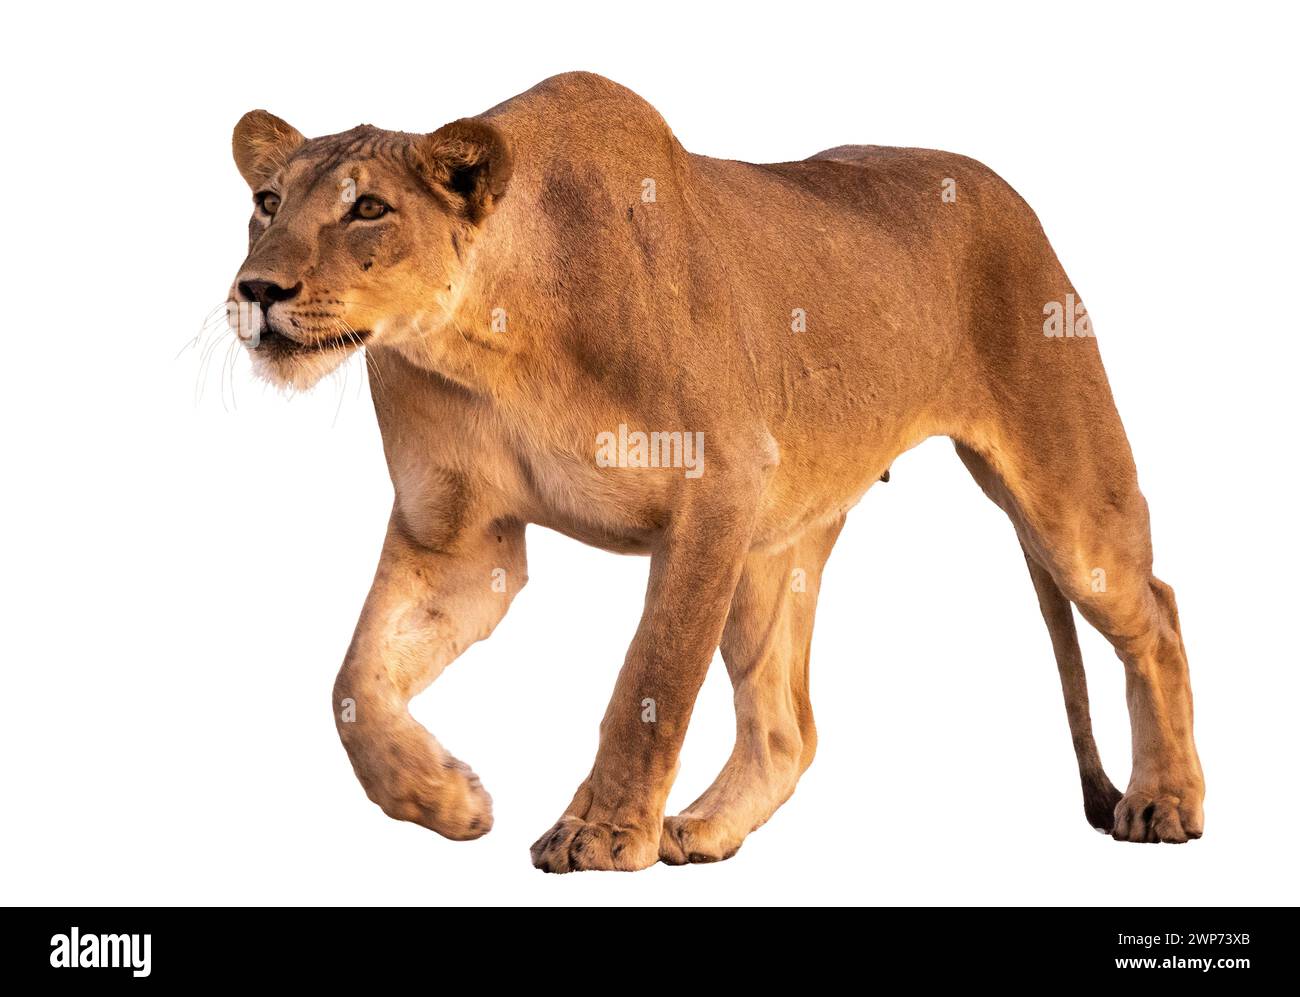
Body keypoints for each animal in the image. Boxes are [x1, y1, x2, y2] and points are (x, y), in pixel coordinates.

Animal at [226, 71, 1204, 872]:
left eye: (367, 210)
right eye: (267, 201)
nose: (256, 290)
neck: (488, 339)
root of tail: (1005, 188)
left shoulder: (718, 487)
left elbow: (652, 678)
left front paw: (600, 833)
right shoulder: (460, 538)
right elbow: (355, 683)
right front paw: (443, 795)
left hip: (1064, 490)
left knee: (1153, 610)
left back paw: (1166, 801)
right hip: (779, 541)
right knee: (787, 726)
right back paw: (700, 828)